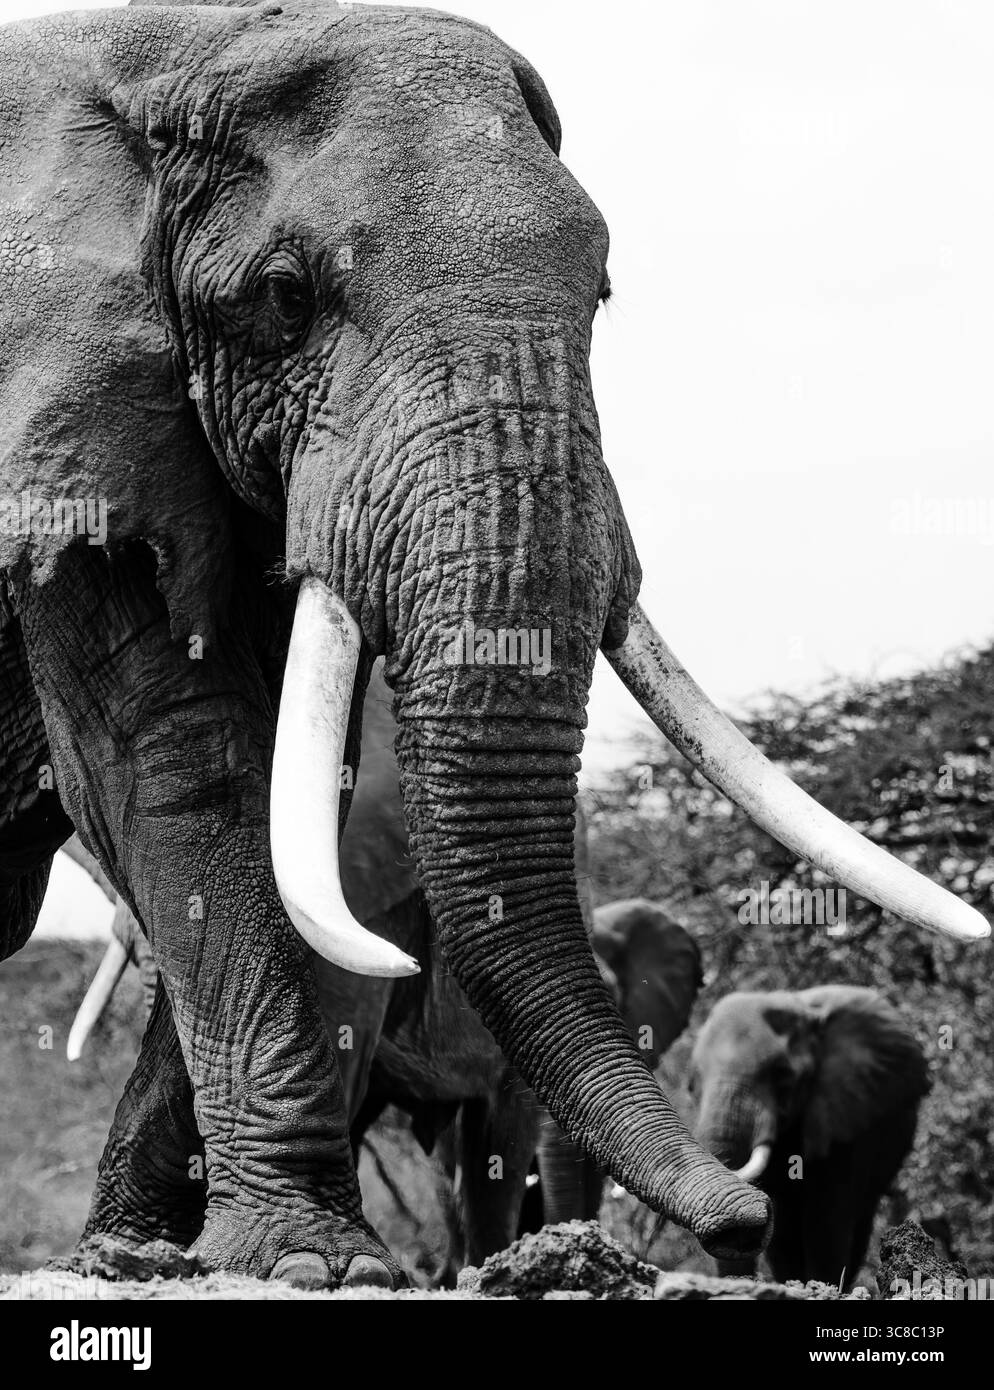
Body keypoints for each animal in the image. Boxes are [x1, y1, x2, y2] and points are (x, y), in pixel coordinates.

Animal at [690, 987, 931, 1289]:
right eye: (694, 1082)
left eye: (782, 1075)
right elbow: (783, 1226)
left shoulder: (843, 1112)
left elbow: (825, 1219)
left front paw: (822, 1286)